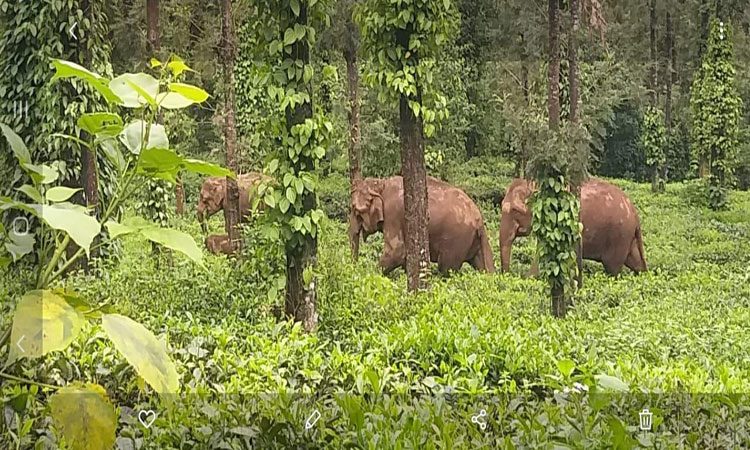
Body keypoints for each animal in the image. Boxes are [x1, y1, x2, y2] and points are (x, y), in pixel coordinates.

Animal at [349, 176, 495, 275]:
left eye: (355, 209)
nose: (354, 268)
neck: (381, 184)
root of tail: (479, 219)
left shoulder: (393, 214)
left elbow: (396, 251)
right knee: (483, 267)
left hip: (457, 240)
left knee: (446, 268)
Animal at [499, 178, 648, 276]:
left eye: (515, 210)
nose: (507, 275)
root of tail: (634, 212)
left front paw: (529, 278)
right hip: (627, 236)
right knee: (636, 262)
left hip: (619, 236)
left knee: (612, 268)